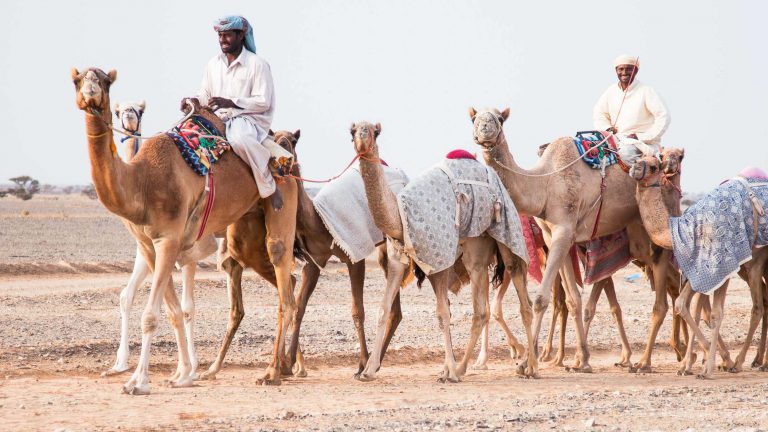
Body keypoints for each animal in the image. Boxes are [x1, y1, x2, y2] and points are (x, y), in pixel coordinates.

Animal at [72, 67, 297, 394]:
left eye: (104, 80)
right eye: (77, 80)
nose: (90, 91)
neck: (141, 181)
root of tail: (284, 155)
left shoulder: (170, 240)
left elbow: (154, 314)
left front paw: (140, 382)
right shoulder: (150, 246)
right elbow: (172, 311)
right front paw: (180, 374)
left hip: (280, 206)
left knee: (284, 283)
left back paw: (273, 372)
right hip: (244, 232)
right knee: (286, 281)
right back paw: (287, 367)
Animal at [269, 129, 406, 377]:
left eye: (293, 141)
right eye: (273, 138)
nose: (283, 154)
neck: (318, 221)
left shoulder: (354, 257)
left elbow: (357, 310)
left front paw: (361, 363)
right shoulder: (313, 262)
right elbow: (300, 307)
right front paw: (288, 364)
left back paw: (371, 364)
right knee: (395, 309)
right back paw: (377, 362)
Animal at [351, 122, 536, 382]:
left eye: (374, 131)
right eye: (352, 131)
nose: (361, 139)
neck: (400, 215)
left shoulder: (439, 261)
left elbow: (442, 314)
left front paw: (448, 370)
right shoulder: (399, 260)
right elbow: (383, 309)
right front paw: (367, 371)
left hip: (503, 240)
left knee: (521, 302)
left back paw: (528, 367)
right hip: (477, 252)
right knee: (482, 310)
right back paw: (467, 367)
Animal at [632, 155, 767, 377]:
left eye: (653, 166)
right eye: (638, 158)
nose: (634, 167)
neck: (685, 228)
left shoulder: (722, 264)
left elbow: (714, 313)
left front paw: (710, 366)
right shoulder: (700, 269)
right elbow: (686, 306)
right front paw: (689, 365)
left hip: (756, 264)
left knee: (758, 307)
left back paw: (742, 362)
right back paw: (757, 361)